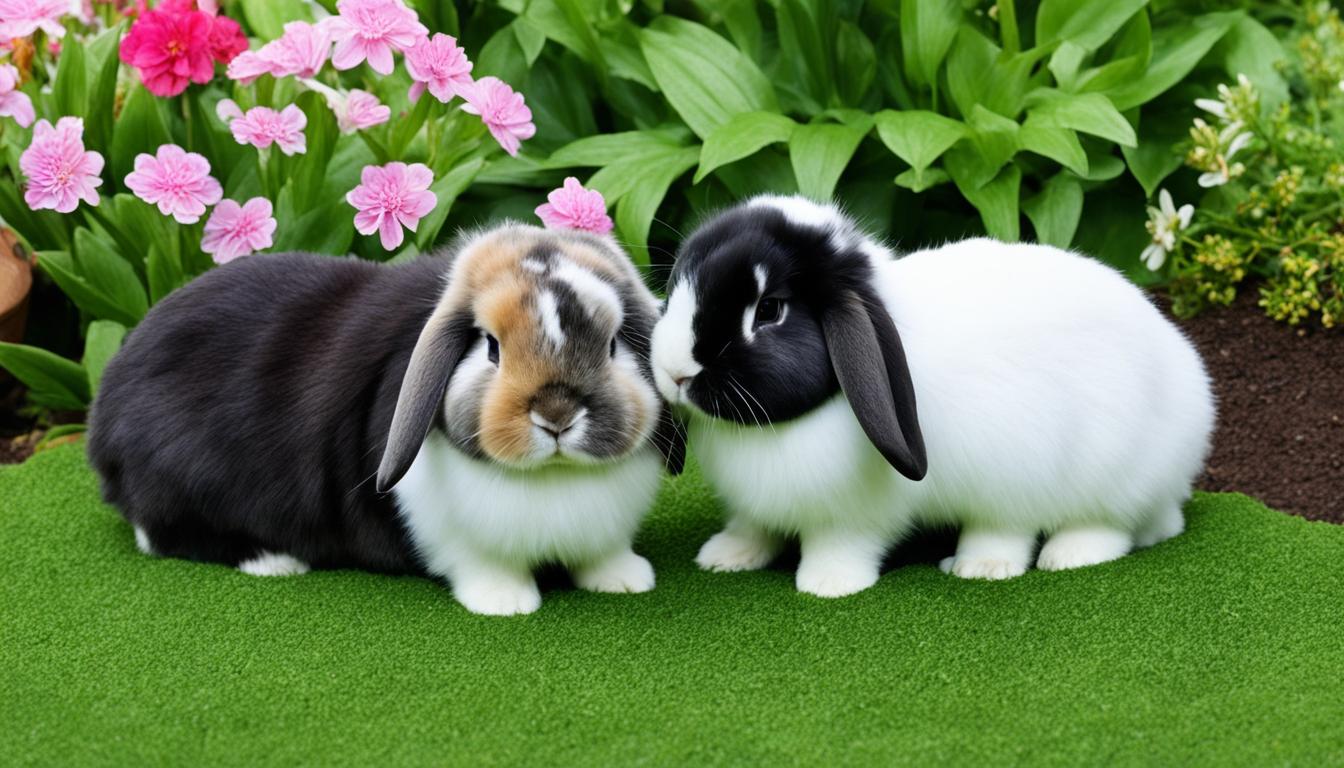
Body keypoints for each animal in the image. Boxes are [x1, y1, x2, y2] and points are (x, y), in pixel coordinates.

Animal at [88, 223, 685, 615]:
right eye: (491, 347)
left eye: (613, 344)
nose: (557, 414)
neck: (551, 480)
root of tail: (104, 416)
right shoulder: (453, 536)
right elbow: (482, 565)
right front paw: (506, 602)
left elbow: (602, 555)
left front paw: (625, 580)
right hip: (182, 484)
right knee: (159, 534)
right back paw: (273, 561)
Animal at [649, 195, 1215, 597]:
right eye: (679, 286)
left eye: (768, 310)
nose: (674, 372)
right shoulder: (758, 508)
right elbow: (753, 528)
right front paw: (724, 556)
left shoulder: (853, 516)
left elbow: (839, 543)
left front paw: (828, 584)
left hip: (1097, 472)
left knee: (1099, 524)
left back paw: (1023, 560)